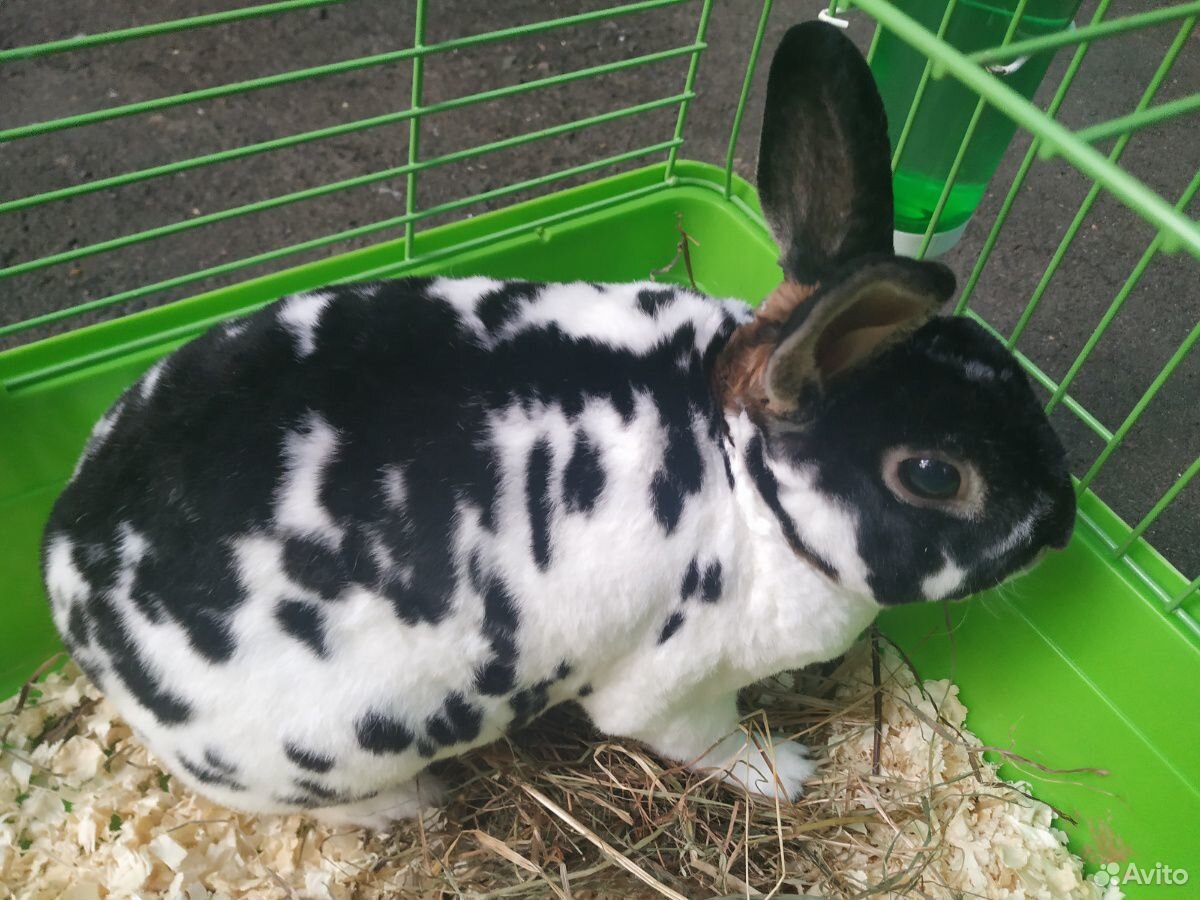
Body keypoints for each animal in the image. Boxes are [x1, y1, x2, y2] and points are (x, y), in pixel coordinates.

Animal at [41, 21, 1075, 829]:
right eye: (934, 474)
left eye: (995, 359)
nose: (1061, 521)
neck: (742, 466)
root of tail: (68, 577)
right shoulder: (676, 684)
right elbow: (709, 741)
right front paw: (789, 769)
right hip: (313, 760)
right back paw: (420, 802)